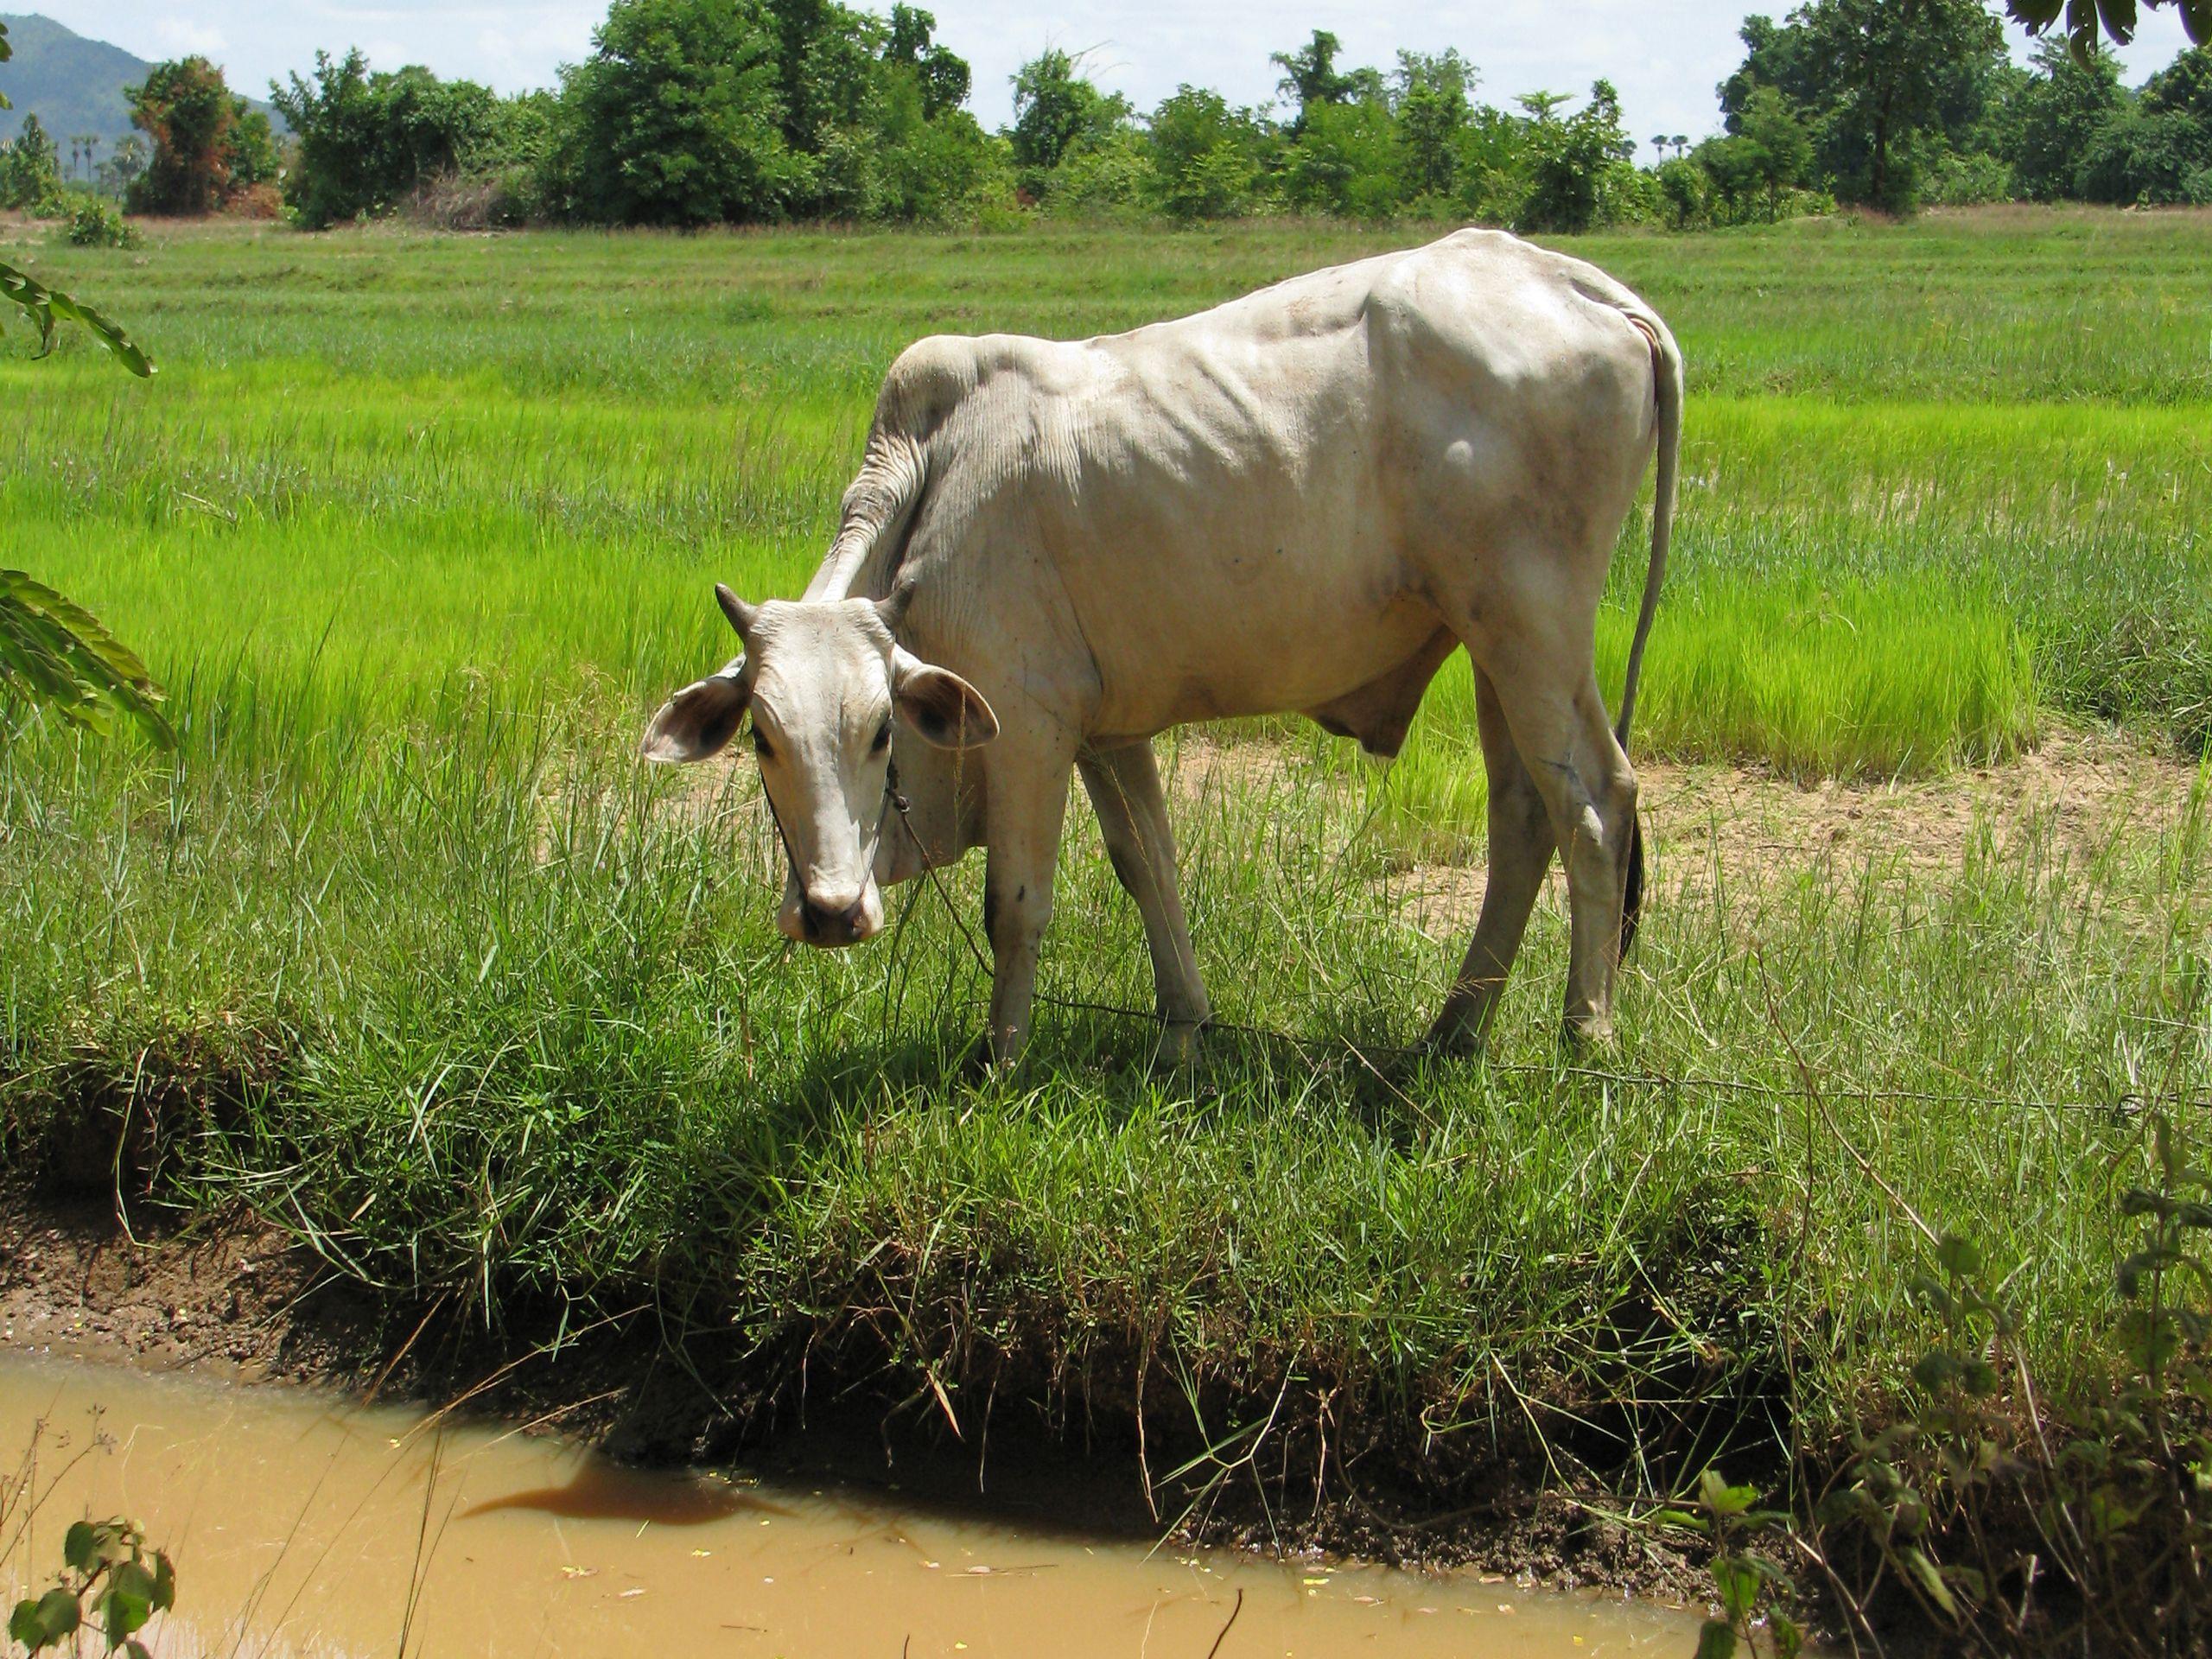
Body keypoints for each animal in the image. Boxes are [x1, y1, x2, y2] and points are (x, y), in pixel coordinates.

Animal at [643, 228, 1681, 1067]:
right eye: (763, 739)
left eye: (879, 734)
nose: (828, 913)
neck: (934, 480)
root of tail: (1580, 282)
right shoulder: (1106, 732)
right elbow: (1150, 866)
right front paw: (1183, 1030)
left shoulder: (1026, 723)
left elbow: (1016, 903)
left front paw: (997, 1064)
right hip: (1491, 641)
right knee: (1525, 815)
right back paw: (1453, 1031)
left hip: (1529, 623)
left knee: (1594, 805)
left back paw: (1584, 1041)